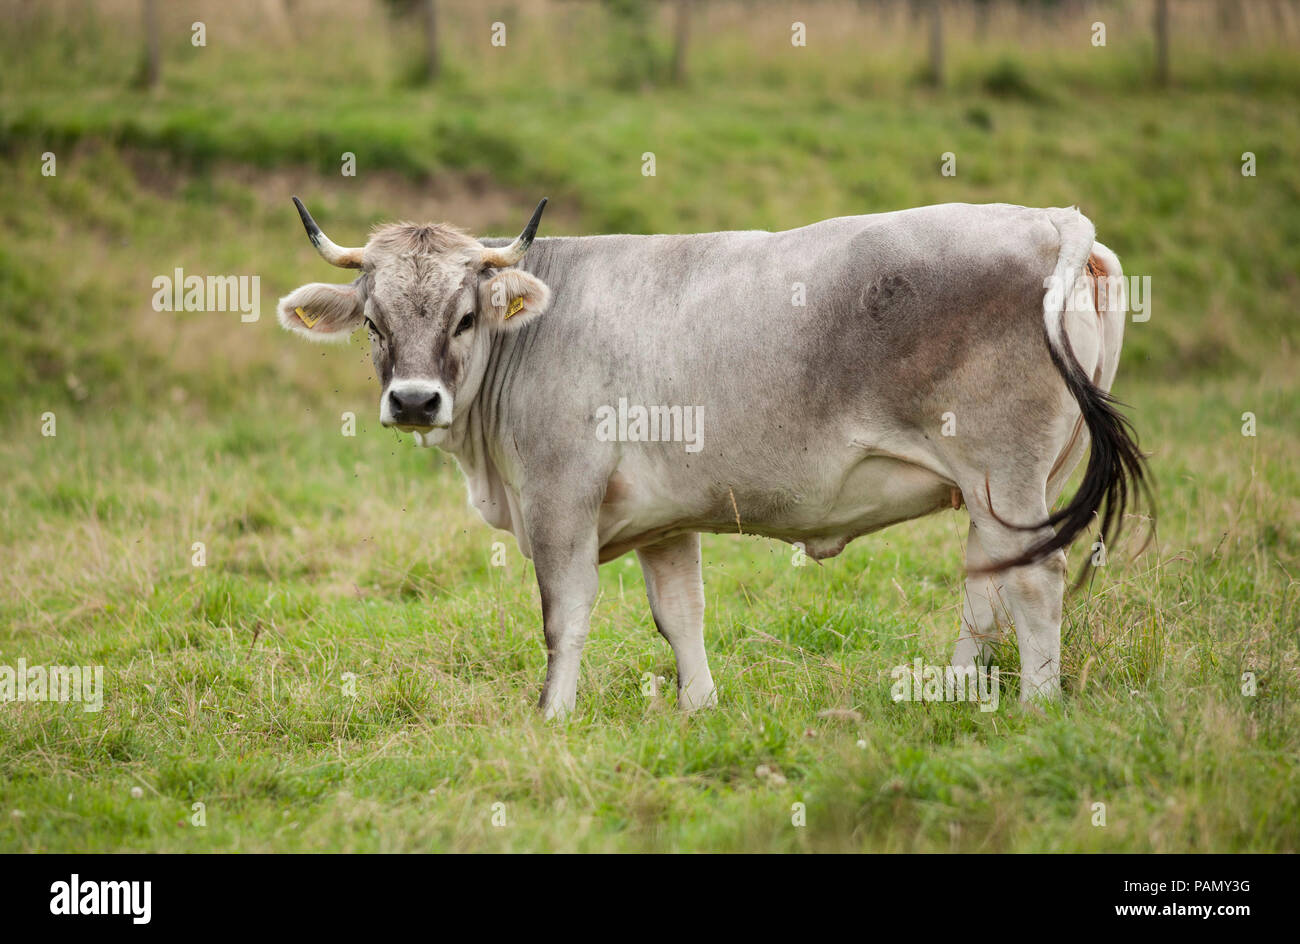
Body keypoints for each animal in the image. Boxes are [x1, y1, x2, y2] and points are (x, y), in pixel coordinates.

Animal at [278, 197, 1149, 718]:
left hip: (1006, 475)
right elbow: (680, 613)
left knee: (1035, 583)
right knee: (986, 588)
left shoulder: (560, 497)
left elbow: (565, 616)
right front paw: (699, 708)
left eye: (464, 317)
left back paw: (1036, 710)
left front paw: (552, 716)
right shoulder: (665, 518)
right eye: (373, 321)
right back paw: (953, 692)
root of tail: (1048, 219)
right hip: (996, 494)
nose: (413, 400)